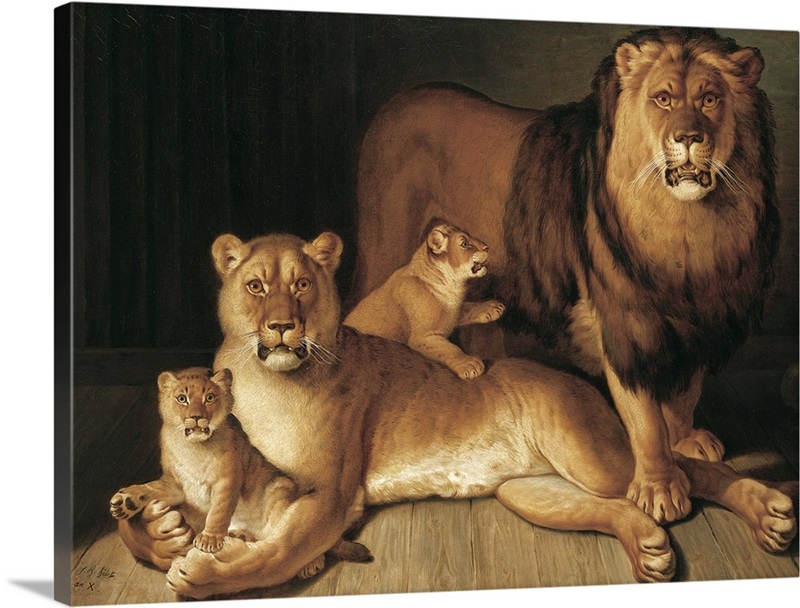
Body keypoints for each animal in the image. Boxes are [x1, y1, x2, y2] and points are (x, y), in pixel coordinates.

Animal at [109, 366, 371, 577]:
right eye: (182, 398)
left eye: (210, 397)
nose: (196, 417)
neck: (193, 449)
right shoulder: (176, 485)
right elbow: (151, 488)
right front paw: (126, 501)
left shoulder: (227, 479)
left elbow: (219, 511)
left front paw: (209, 539)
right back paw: (239, 536)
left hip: (279, 491)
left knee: (288, 540)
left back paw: (309, 563)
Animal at [344, 220, 505, 379]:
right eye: (465, 244)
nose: (487, 247)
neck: (452, 286)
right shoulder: (423, 337)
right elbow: (448, 348)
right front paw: (469, 364)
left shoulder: (453, 312)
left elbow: (468, 307)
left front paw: (492, 307)